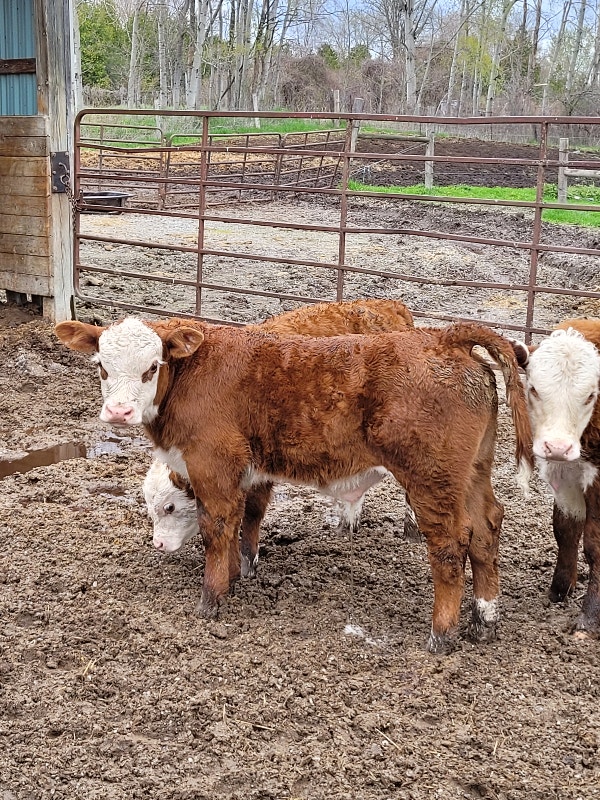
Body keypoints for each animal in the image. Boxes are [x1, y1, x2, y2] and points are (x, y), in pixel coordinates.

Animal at [511, 319, 600, 636]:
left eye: (590, 395)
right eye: (534, 389)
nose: (558, 447)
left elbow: (595, 546)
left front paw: (590, 618)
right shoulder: (564, 472)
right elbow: (565, 528)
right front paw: (561, 588)